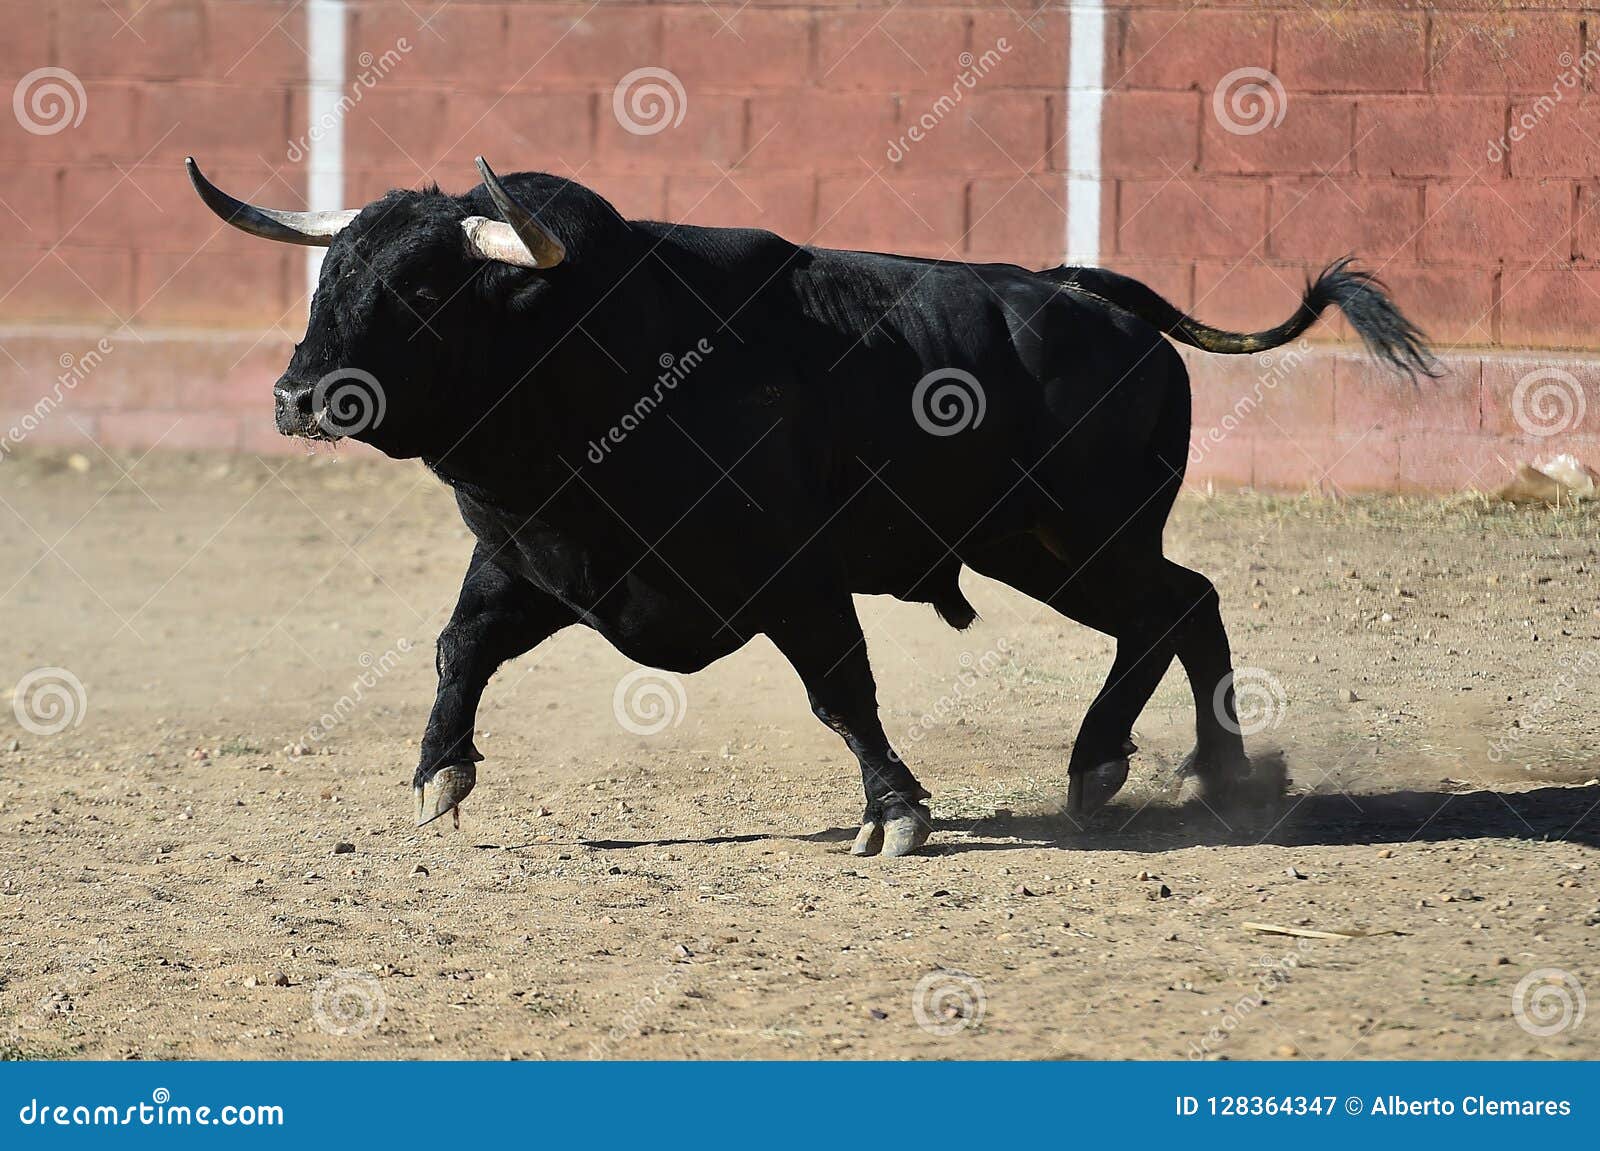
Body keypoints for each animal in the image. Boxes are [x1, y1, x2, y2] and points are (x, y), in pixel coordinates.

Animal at [187, 156, 1434, 857]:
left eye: (422, 288)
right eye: (330, 274)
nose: (298, 396)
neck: (592, 358)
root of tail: (1091, 292)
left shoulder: (794, 577)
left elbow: (842, 690)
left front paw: (894, 811)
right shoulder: (533, 561)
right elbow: (460, 647)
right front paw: (438, 775)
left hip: (1081, 534)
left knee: (1176, 605)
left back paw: (1156, 769)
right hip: (1036, 544)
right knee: (1179, 604)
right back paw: (1184, 772)